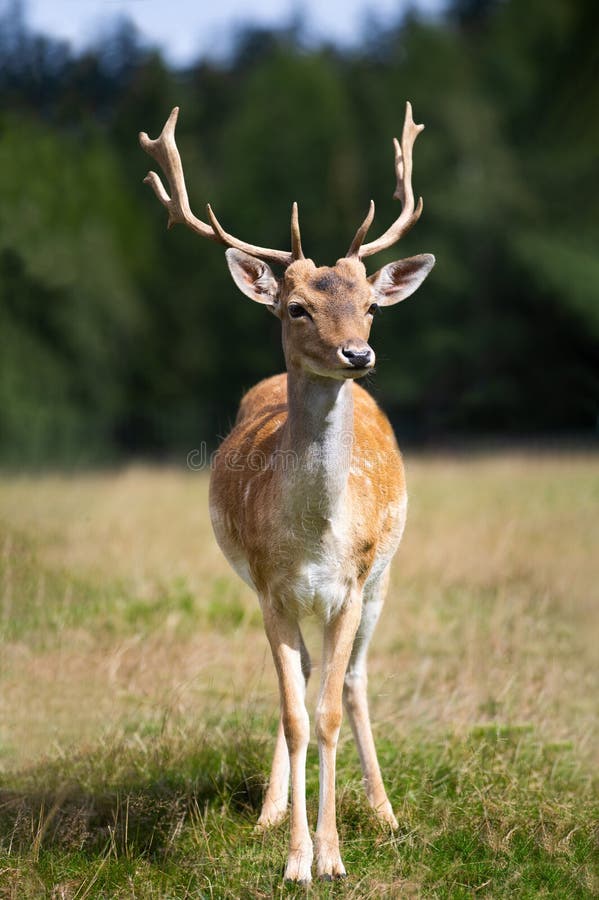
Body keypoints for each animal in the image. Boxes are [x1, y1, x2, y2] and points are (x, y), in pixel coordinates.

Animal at [139, 102, 434, 883]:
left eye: (370, 305)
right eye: (296, 307)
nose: (357, 353)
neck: (314, 539)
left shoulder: (351, 583)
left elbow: (328, 710)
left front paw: (332, 856)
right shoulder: (271, 586)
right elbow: (298, 711)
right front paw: (295, 856)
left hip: (384, 577)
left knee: (353, 680)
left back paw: (386, 813)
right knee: (300, 678)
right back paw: (272, 812)